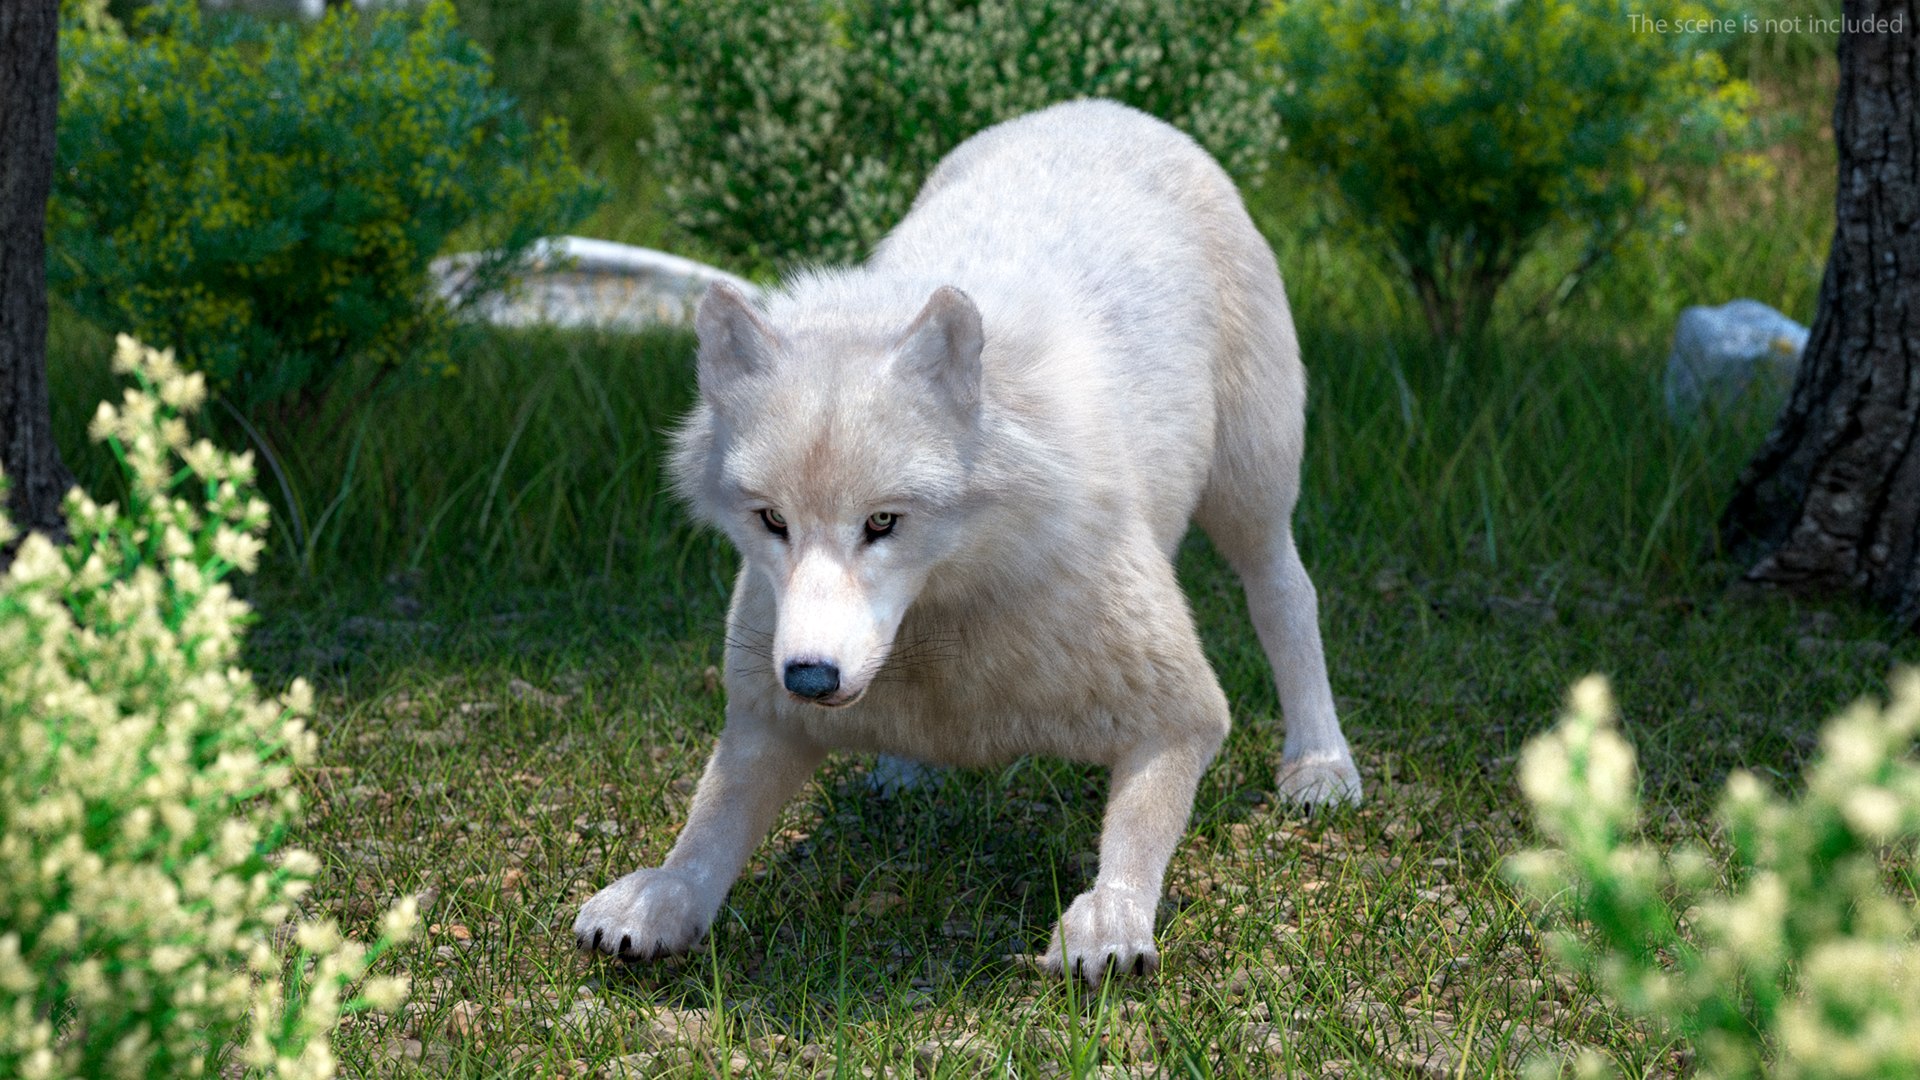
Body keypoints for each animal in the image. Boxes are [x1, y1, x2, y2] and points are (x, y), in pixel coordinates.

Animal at [575, 99, 1361, 984]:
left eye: (884, 522)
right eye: (771, 520)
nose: (810, 677)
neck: (954, 604)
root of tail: (1102, 108)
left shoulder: (1181, 709)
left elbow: (1139, 832)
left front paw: (1111, 917)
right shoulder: (765, 717)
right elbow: (706, 830)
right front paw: (658, 898)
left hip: (1251, 492)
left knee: (1287, 594)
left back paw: (1320, 764)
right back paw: (902, 769)